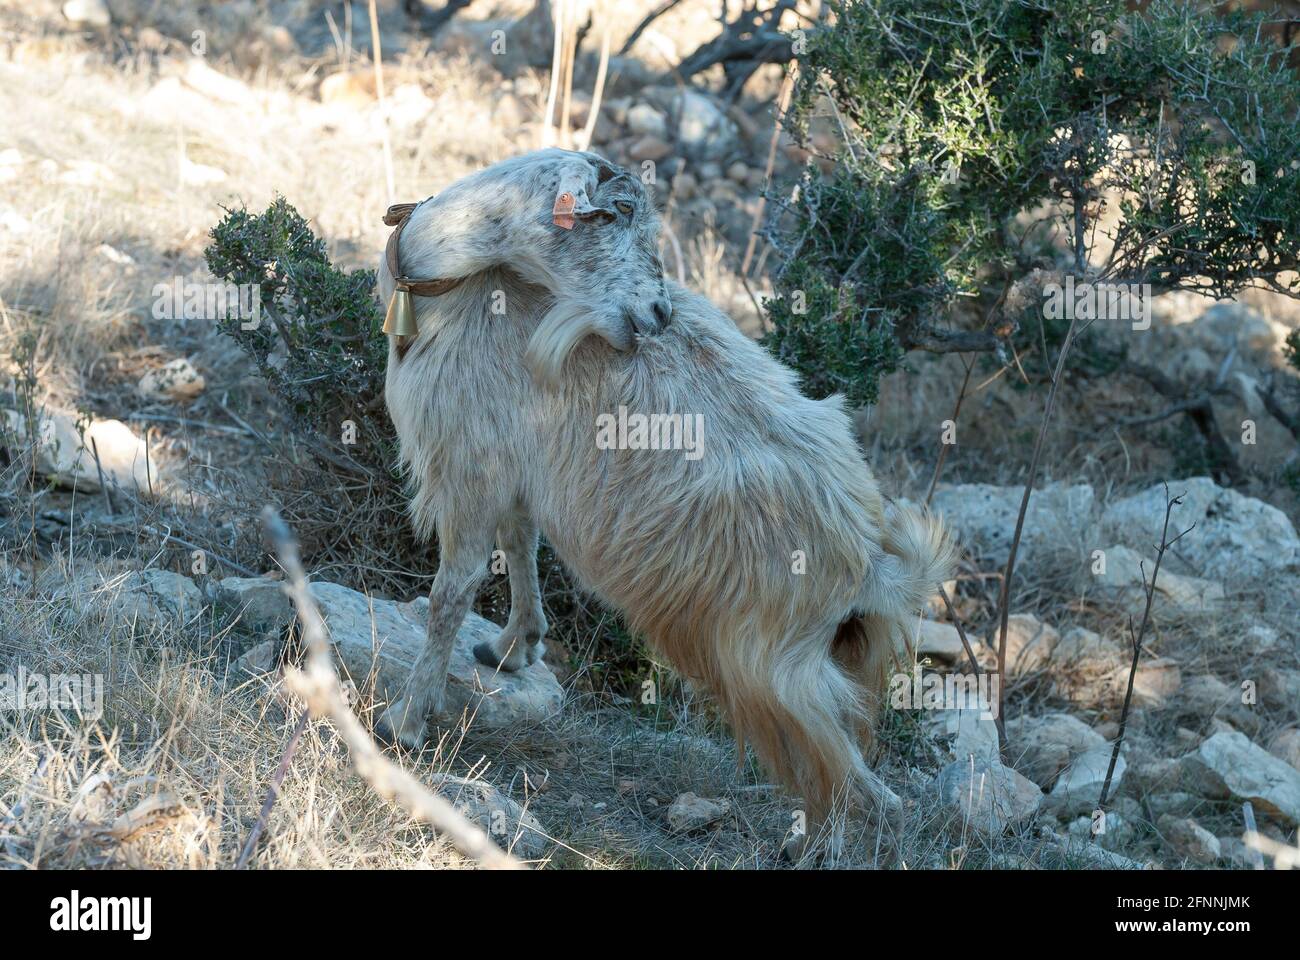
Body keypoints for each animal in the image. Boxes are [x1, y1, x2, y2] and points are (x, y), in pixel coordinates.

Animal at [376, 149, 954, 851]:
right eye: (618, 214)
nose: (659, 313)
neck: (441, 283)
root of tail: (868, 566)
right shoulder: (515, 471)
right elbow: (520, 545)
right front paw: (516, 645)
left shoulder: (470, 469)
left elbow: (450, 594)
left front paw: (405, 721)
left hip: (767, 659)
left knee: (838, 761)